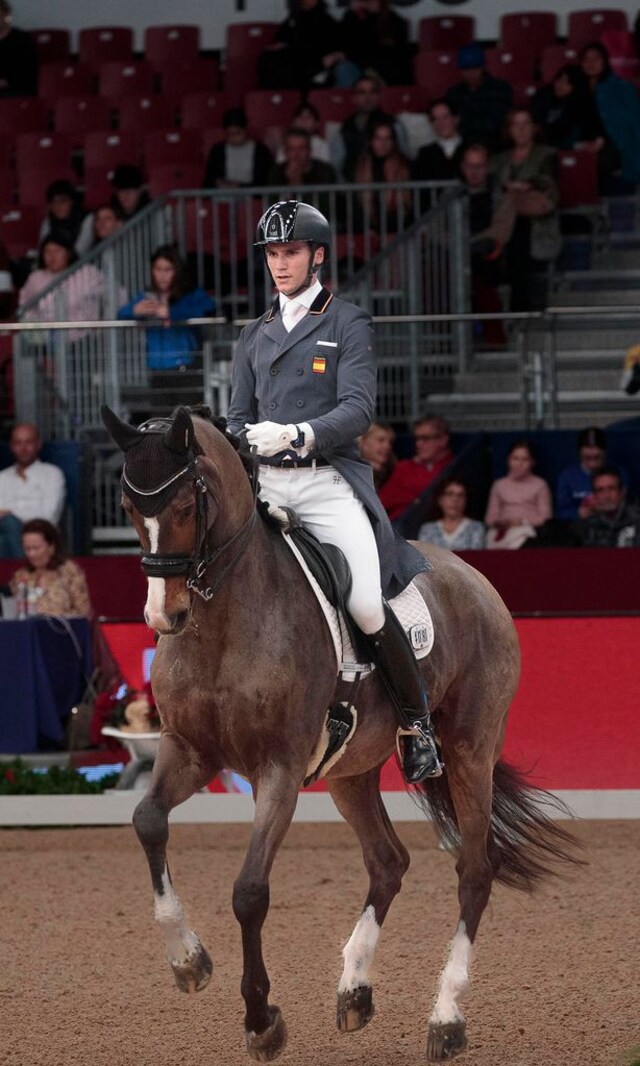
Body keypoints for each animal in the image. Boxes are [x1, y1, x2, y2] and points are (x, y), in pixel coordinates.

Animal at [102, 404, 580, 1063]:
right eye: (128, 506)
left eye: (184, 506)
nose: (162, 616)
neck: (223, 621)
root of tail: (474, 580)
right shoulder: (189, 751)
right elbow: (147, 821)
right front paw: (189, 962)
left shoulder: (278, 768)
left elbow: (250, 891)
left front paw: (261, 1021)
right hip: (351, 773)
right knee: (388, 861)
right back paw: (354, 989)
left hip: (469, 753)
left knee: (475, 872)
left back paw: (446, 1018)